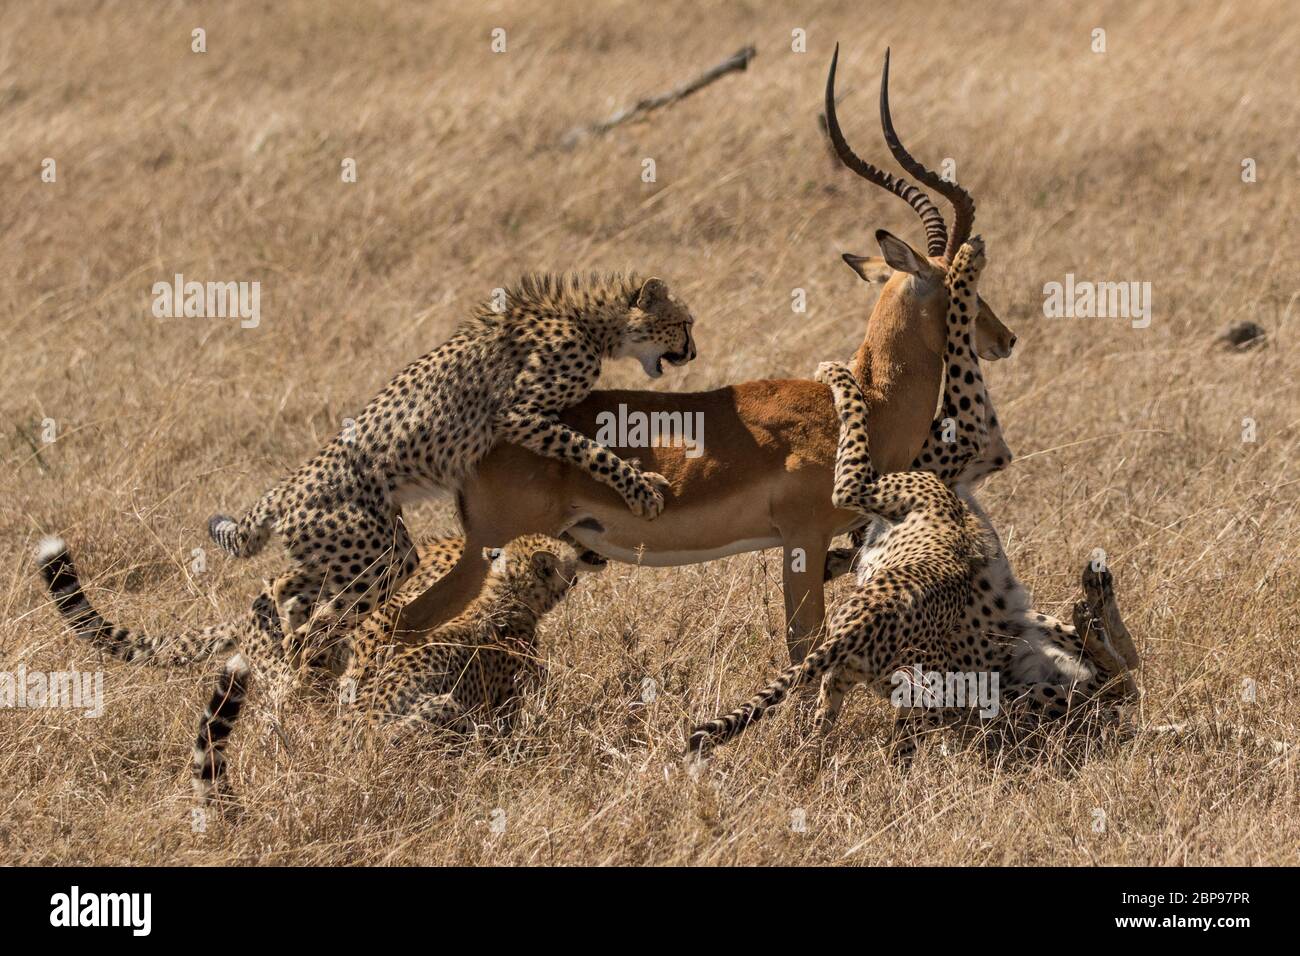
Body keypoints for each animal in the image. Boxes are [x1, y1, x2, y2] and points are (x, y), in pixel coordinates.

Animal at [205, 271, 695, 674]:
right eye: (685, 323)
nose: (693, 352)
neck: (590, 321)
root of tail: (280, 491)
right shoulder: (516, 414)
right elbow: (588, 449)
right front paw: (642, 489)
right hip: (378, 555)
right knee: (315, 619)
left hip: (358, 550)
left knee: (283, 583)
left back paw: (288, 623)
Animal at [396, 47, 1016, 663]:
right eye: (963, 285)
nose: (1004, 339)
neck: (862, 401)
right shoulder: (803, 539)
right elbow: (804, 644)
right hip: (485, 547)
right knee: (403, 620)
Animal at [688, 237, 1139, 757]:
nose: (1008, 340)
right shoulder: (974, 444)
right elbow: (956, 340)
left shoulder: (938, 453)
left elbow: (949, 343)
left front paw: (964, 264)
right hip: (1010, 646)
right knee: (1118, 675)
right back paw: (1093, 601)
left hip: (998, 652)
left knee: (1120, 675)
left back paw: (1093, 602)